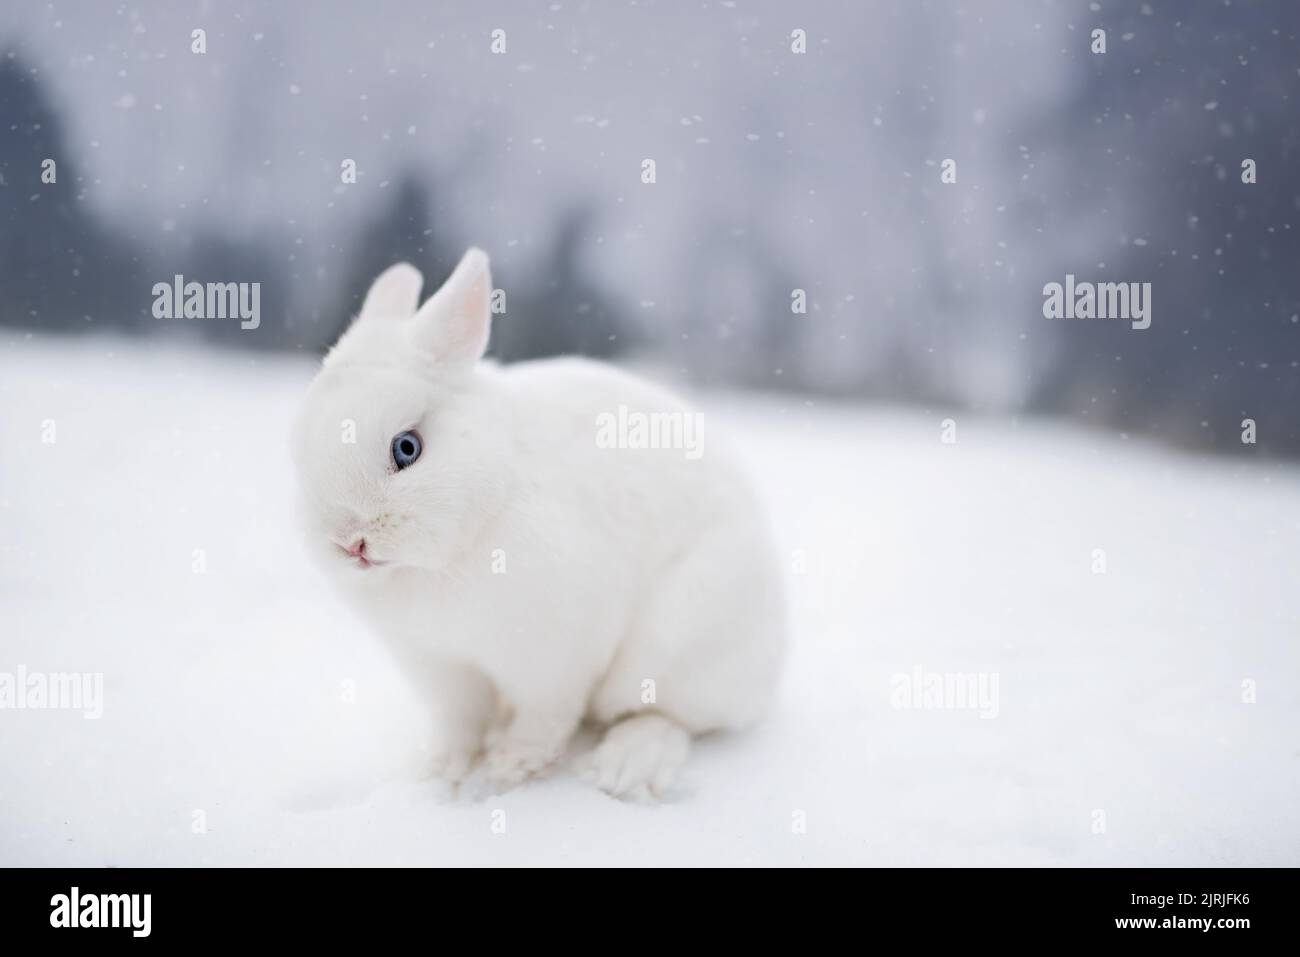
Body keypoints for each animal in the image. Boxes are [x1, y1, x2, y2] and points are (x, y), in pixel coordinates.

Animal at [291, 248, 785, 801]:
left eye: (407, 447)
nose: (348, 542)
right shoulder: (442, 668)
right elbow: (458, 723)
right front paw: (442, 775)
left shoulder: (554, 657)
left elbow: (544, 718)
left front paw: (508, 771)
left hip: (677, 646)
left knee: (668, 717)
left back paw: (628, 766)